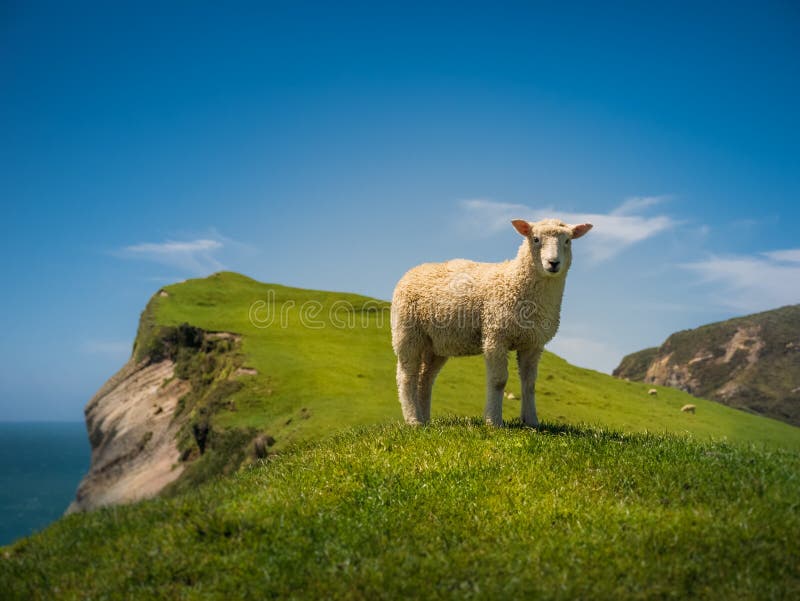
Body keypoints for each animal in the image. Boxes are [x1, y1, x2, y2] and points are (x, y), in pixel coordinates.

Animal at [391, 218, 592, 427]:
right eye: (535, 239)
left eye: (568, 241)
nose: (553, 263)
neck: (516, 282)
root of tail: (413, 270)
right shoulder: (495, 335)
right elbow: (498, 380)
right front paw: (494, 421)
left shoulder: (533, 343)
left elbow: (529, 384)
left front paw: (531, 422)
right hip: (408, 332)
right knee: (406, 376)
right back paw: (413, 420)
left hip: (436, 344)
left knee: (425, 379)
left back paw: (426, 420)